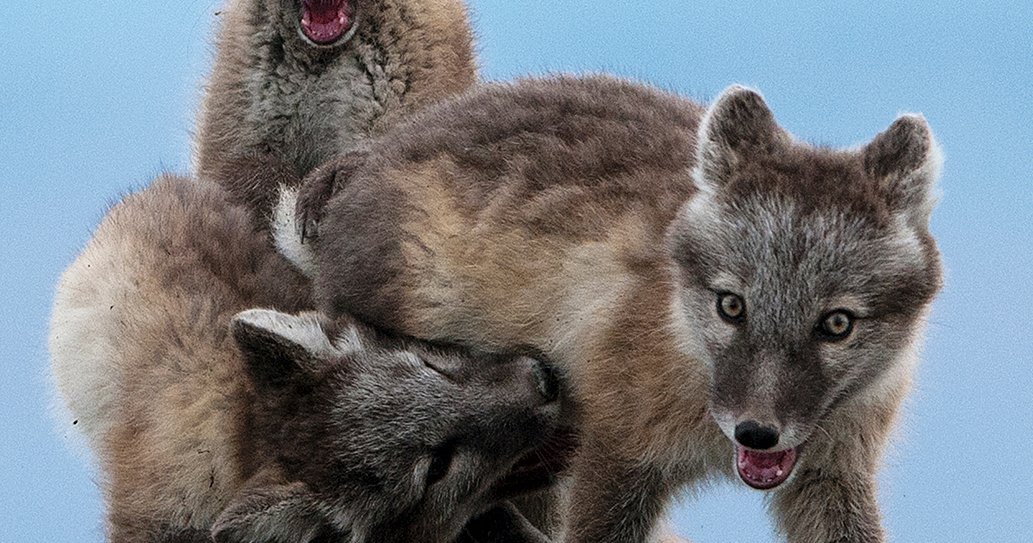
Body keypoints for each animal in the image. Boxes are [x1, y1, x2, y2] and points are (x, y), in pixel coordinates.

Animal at [282, 75, 943, 542]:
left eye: (837, 324)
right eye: (731, 306)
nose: (756, 433)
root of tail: (372, 157)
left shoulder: (834, 471)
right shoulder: (617, 458)